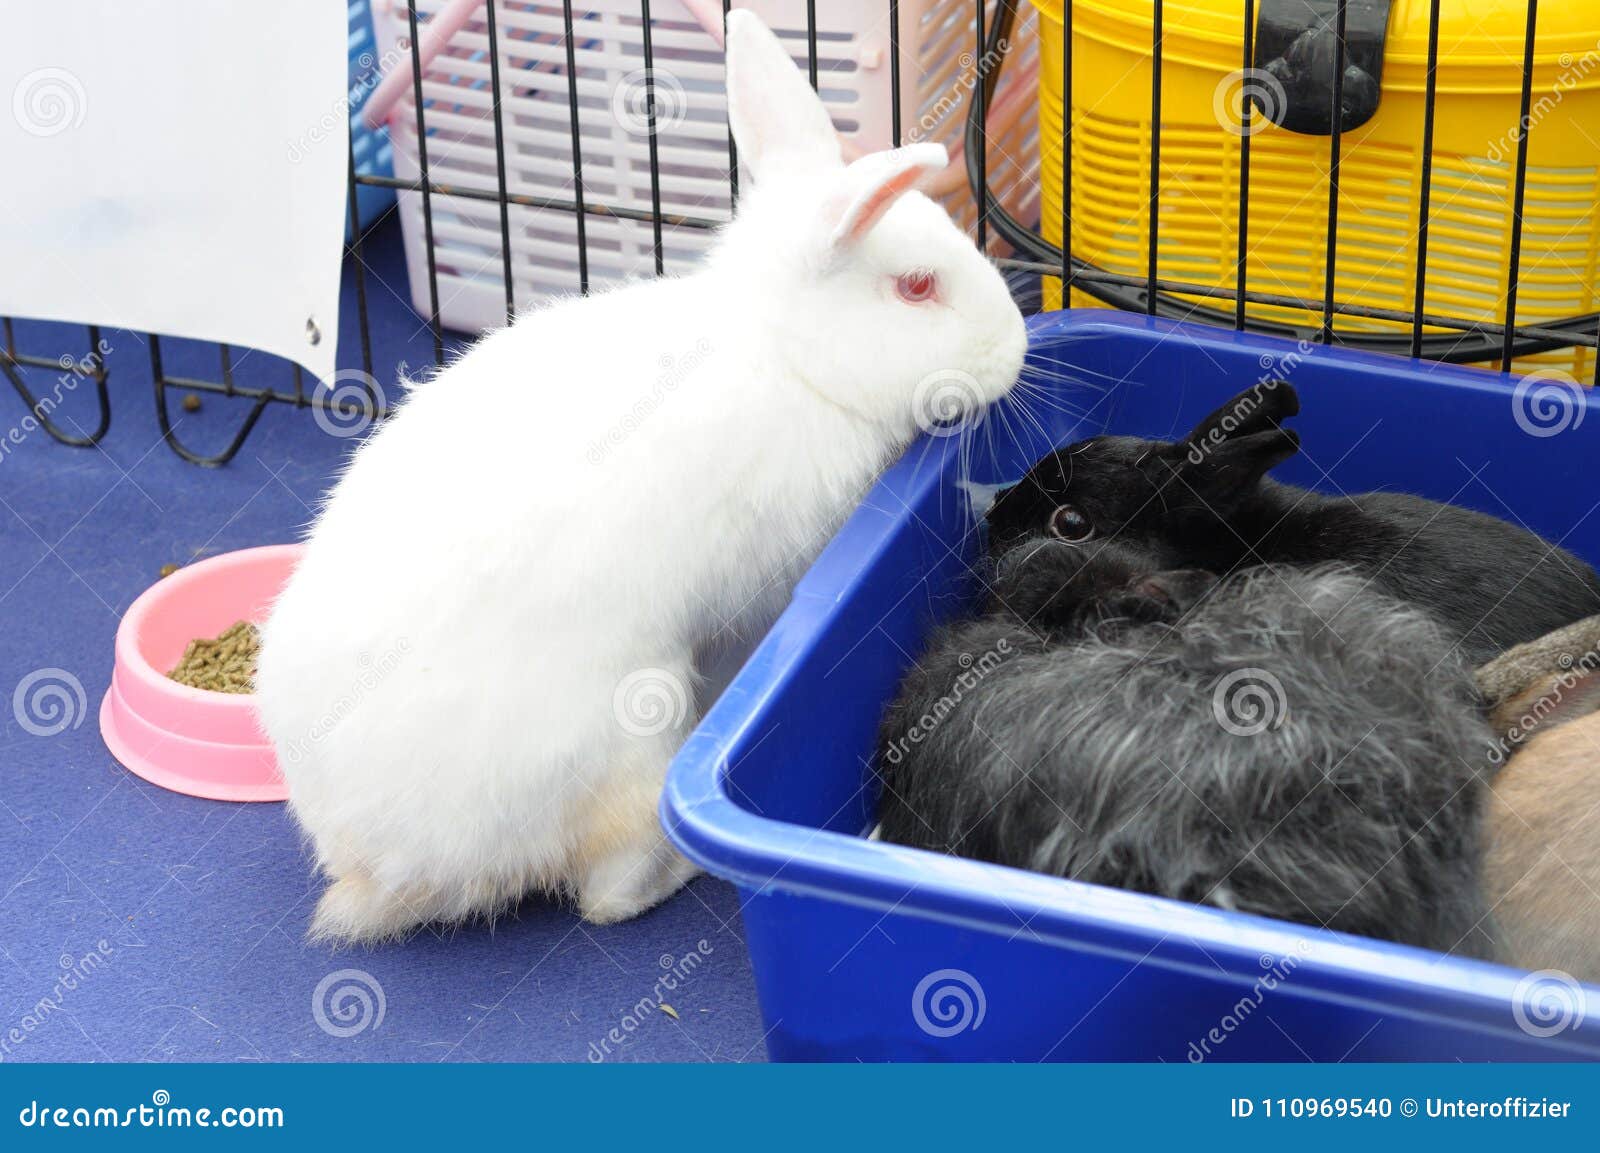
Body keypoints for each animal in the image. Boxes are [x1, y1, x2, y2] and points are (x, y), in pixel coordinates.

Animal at [254, 9, 1028, 943]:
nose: (1019, 346)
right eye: (917, 287)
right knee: (605, 892)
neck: (787, 355)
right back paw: (681, 870)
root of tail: (371, 867)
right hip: (630, 730)